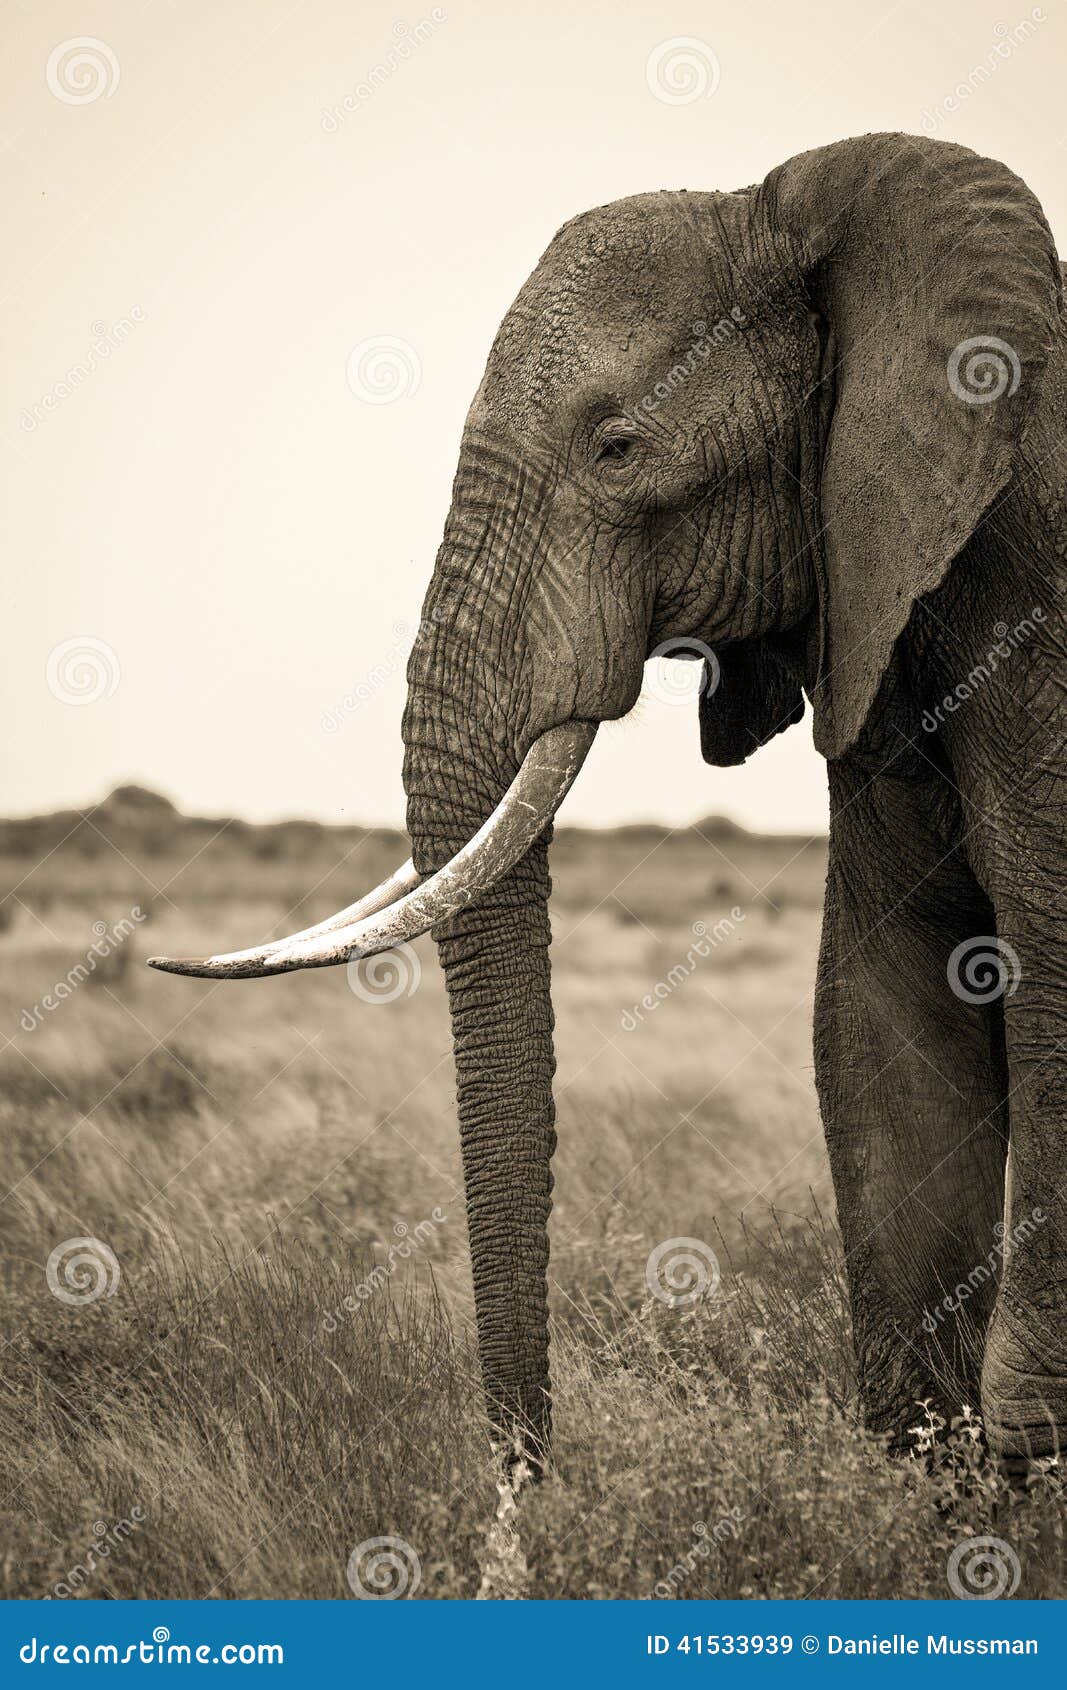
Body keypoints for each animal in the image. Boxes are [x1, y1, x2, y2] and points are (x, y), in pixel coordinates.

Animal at [151, 133, 1066, 1478]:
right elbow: (882, 998)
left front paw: (1021, 1448)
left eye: (617, 449)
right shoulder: (876, 603)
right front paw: (934, 1477)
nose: (525, 1487)